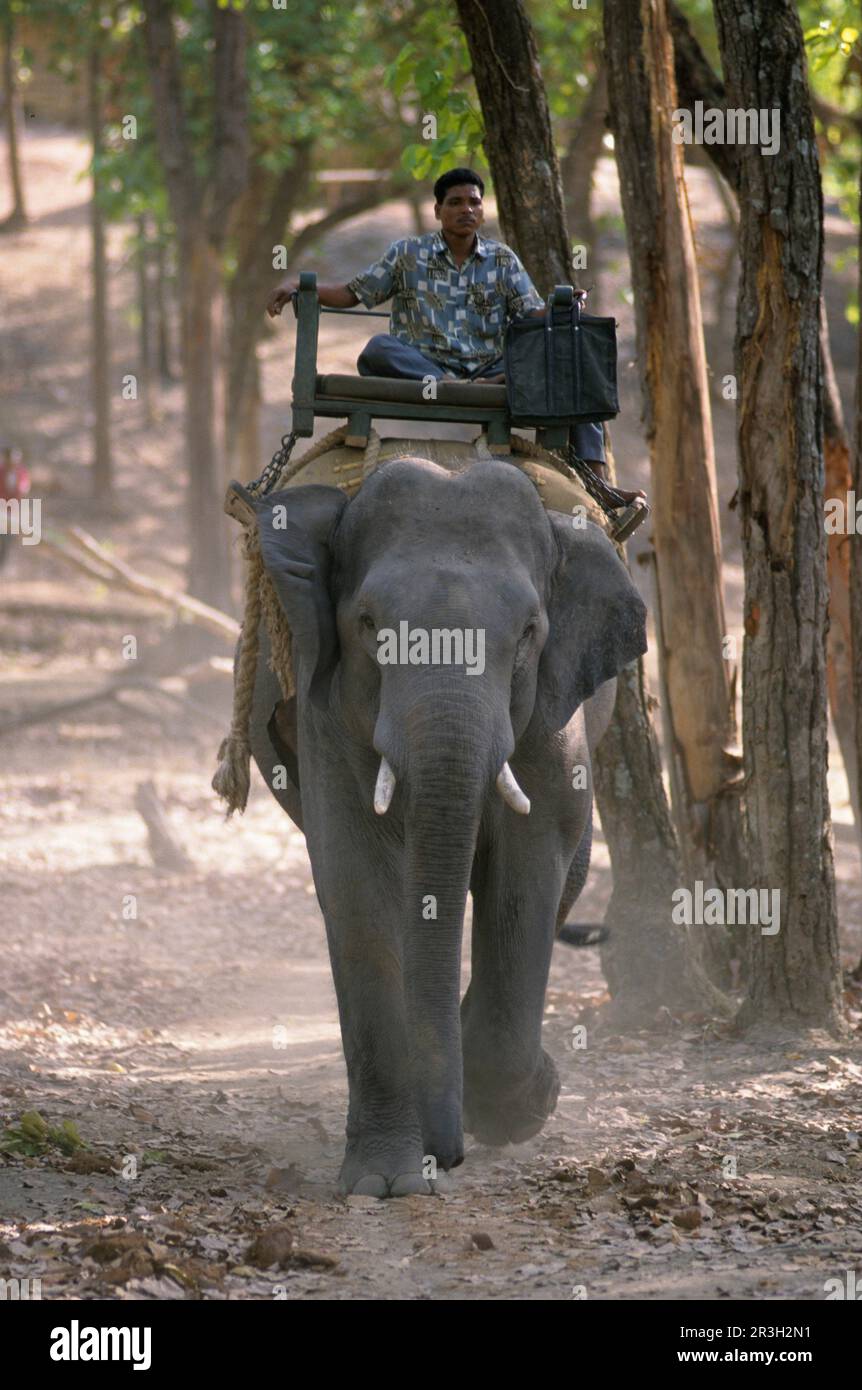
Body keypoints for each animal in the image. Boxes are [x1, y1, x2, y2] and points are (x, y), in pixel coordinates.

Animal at [244, 452, 647, 1197]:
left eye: (528, 633)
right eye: (368, 624)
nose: (448, 1154)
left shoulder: (554, 714)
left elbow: (527, 871)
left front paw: (522, 1108)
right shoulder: (327, 709)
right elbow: (355, 877)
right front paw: (386, 1183)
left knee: (563, 880)